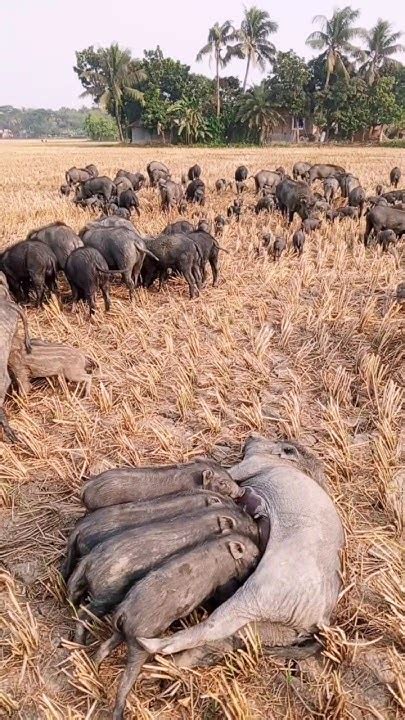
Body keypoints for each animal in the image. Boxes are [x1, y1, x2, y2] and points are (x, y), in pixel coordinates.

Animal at [67, 505, 259, 643]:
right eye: (248, 525)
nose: (258, 529)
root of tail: (89, 560)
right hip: (105, 596)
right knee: (84, 613)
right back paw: (79, 643)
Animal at [94, 535, 260, 720]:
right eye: (254, 556)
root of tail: (123, 611)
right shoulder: (223, 582)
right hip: (139, 642)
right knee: (126, 678)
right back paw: (119, 712)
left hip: (121, 633)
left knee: (103, 648)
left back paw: (95, 672)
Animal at [139, 435, 343, 662]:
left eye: (277, 441)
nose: (251, 436)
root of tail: (319, 621)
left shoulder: (251, 464)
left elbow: (230, 471)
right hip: (270, 629)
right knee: (223, 640)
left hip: (258, 595)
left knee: (213, 626)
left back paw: (152, 645)